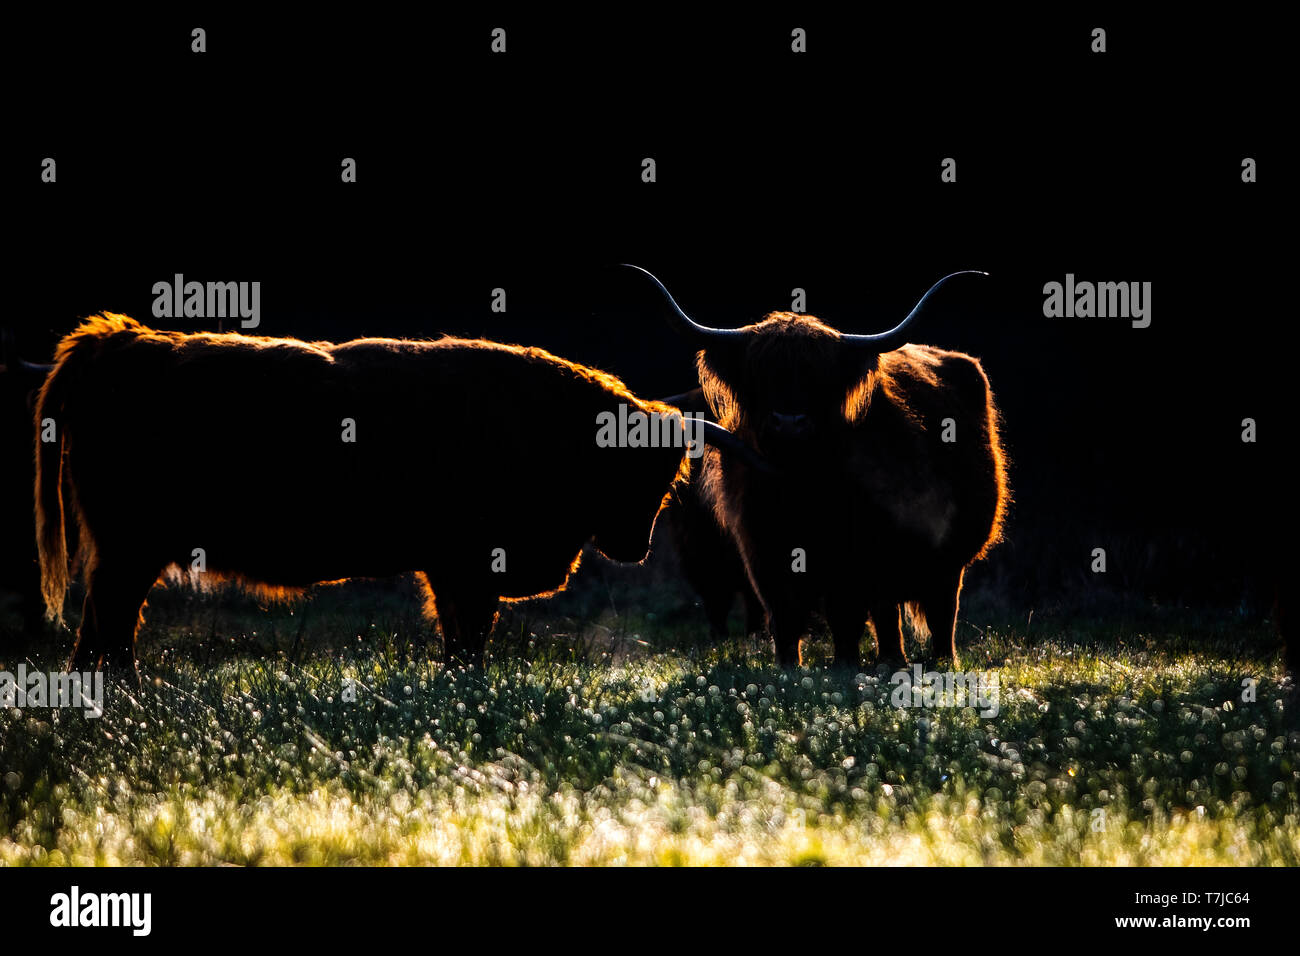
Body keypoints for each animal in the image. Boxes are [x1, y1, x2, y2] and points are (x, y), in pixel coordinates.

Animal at [34, 313, 756, 679]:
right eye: (637, 473)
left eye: (666, 477)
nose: (636, 548)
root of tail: (117, 338)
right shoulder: (470, 569)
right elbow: (469, 642)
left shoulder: (449, 571)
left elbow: (461, 643)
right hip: (126, 554)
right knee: (104, 634)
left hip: (125, 557)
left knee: (104, 635)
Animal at [629, 265, 1010, 670]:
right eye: (759, 375)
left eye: (819, 379)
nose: (789, 422)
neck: (801, 485)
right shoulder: (761, 551)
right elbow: (784, 616)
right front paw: (788, 667)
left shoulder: (857, 554)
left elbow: (845, 615)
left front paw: (845, 665)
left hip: (948, 560)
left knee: (939, 613)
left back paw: (934, 662)